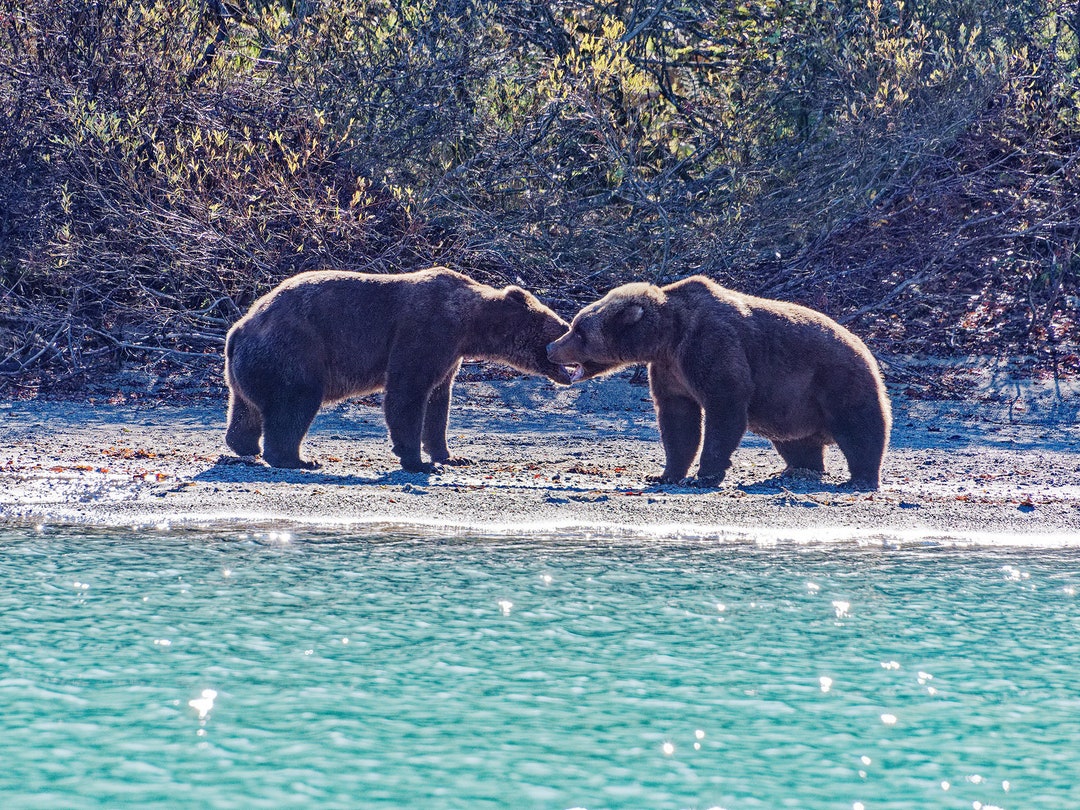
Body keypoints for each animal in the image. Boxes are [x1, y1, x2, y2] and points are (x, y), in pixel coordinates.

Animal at [224, 267, 572, 472]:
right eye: (560, 325)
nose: (569, 327)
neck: (470, 326)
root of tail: (237, 328)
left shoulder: (449, 355)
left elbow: (438, 402)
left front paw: (451, 455)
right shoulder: (425, 330)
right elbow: (408, 393)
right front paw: (417, 461)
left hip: (253, 365)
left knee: (246, 408)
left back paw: (245, 444)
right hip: (296, 350)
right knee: (296, 401)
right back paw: (296, 459)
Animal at [547, 276, 891, 489]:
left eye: (579, 330)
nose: (551, 346)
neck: (669, 336)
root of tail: (865, 348)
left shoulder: (712, 345)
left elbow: (724, 407)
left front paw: (705, 475)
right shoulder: (670, 370)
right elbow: (677, 420)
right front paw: (664, 474)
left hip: (835, 379)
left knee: (859, 427)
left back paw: (859, 478)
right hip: (793, 406)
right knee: (796, 441)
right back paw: (795, 471)